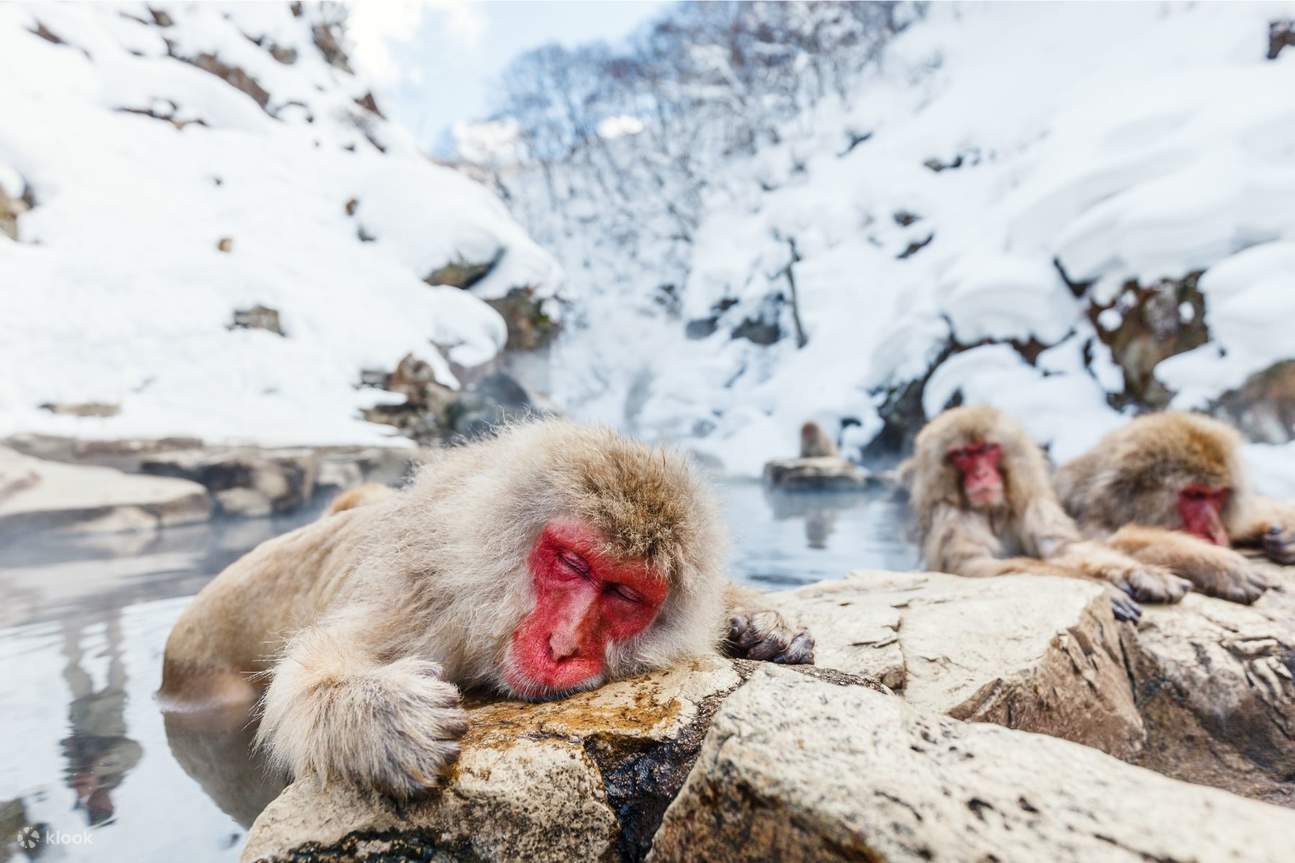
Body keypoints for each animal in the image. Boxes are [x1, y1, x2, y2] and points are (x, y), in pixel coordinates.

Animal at [159, 420, 813, 798]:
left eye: (624, 594)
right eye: (572, 564)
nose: (564, 644)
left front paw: (764, 624)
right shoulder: (423, 604)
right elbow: (312, 668)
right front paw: (379, 714)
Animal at [905, 406, 1191, 619]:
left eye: (987, 449)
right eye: (963, 455)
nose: (981, 474)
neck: (992, 511)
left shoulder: (1033, 503)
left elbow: (1061, 548)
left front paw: (1142, 574)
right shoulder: (950, 516)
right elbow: (974, 565)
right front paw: (1103, 588)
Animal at [1055, 411, 1291, 604]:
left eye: (1216, 495)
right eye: (1195, 495)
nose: (1215, 533)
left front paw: (1287, 530)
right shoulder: (1089, 520)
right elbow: (1105, 543)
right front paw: (1213, 563)